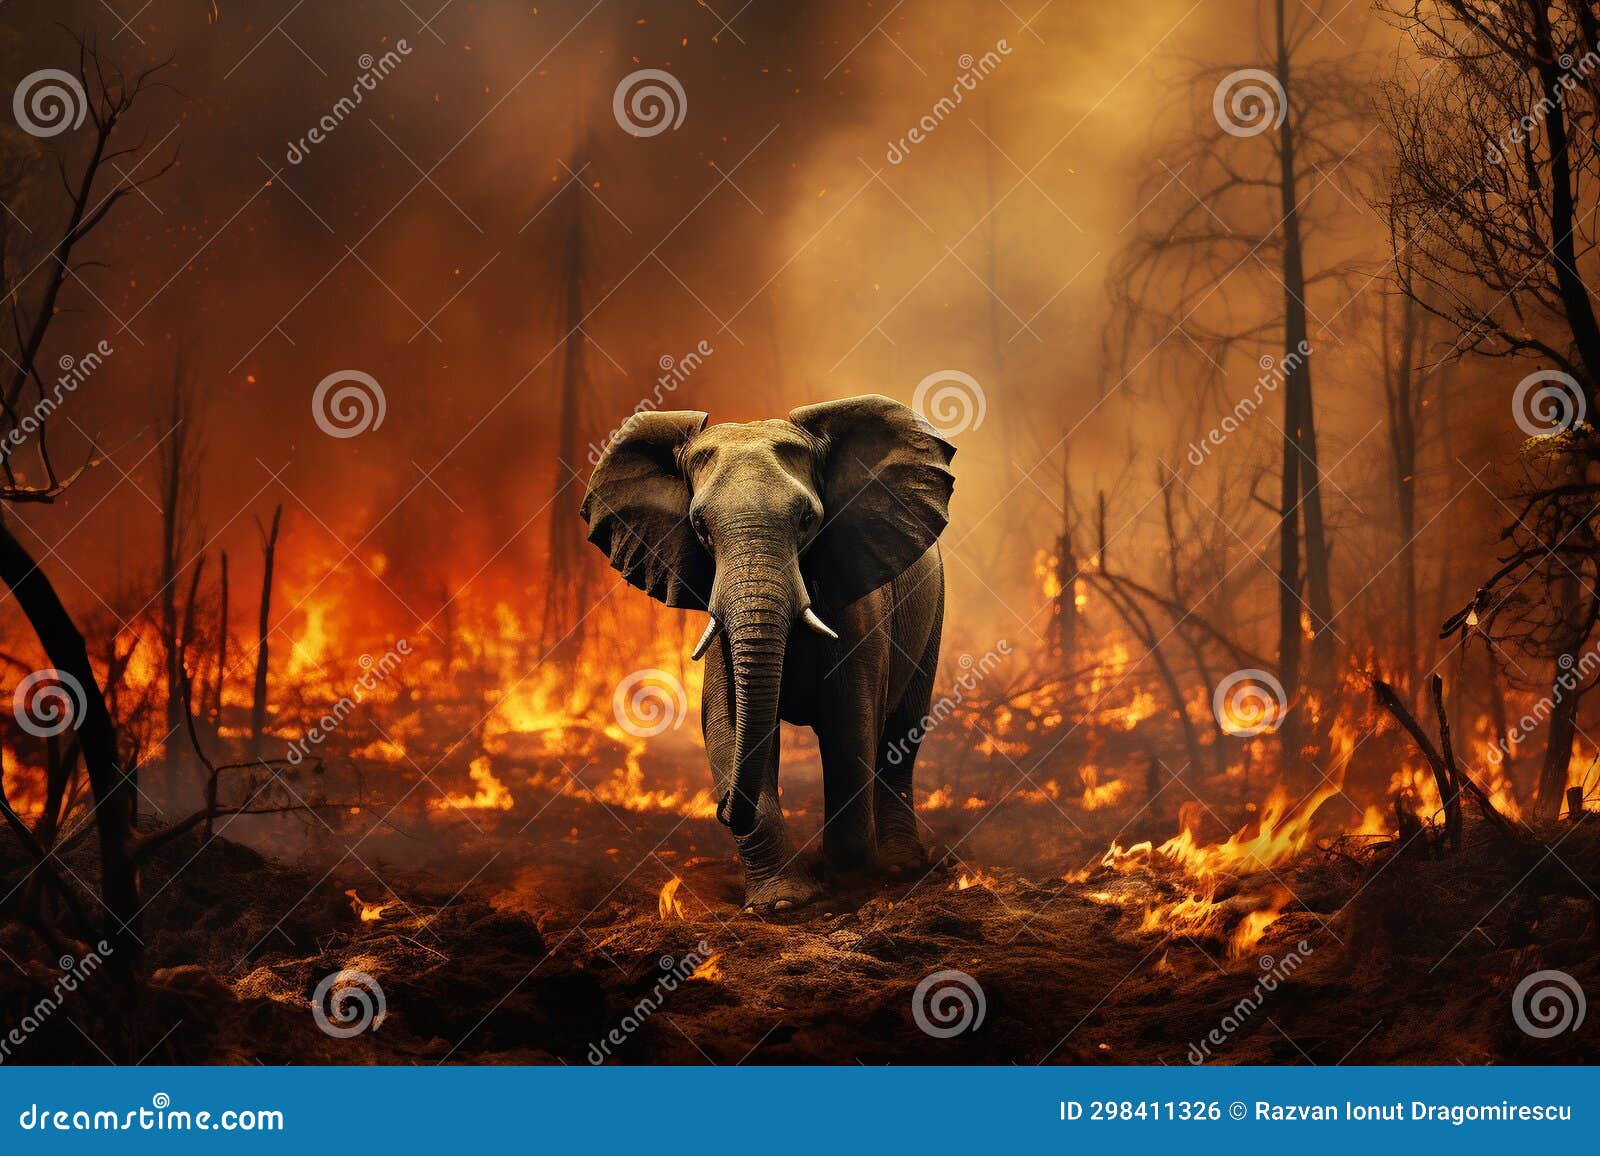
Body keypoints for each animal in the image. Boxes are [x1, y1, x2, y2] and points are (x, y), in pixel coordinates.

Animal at [580, 395, 955, 911]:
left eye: (808, 520)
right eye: (699, 527)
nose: (722, 809)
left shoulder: (859, 599)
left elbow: (850, 724)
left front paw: (848, 884)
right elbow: (725, 724)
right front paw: (781, 903)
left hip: (933, 613)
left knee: (900, 736)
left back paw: (902, 867)